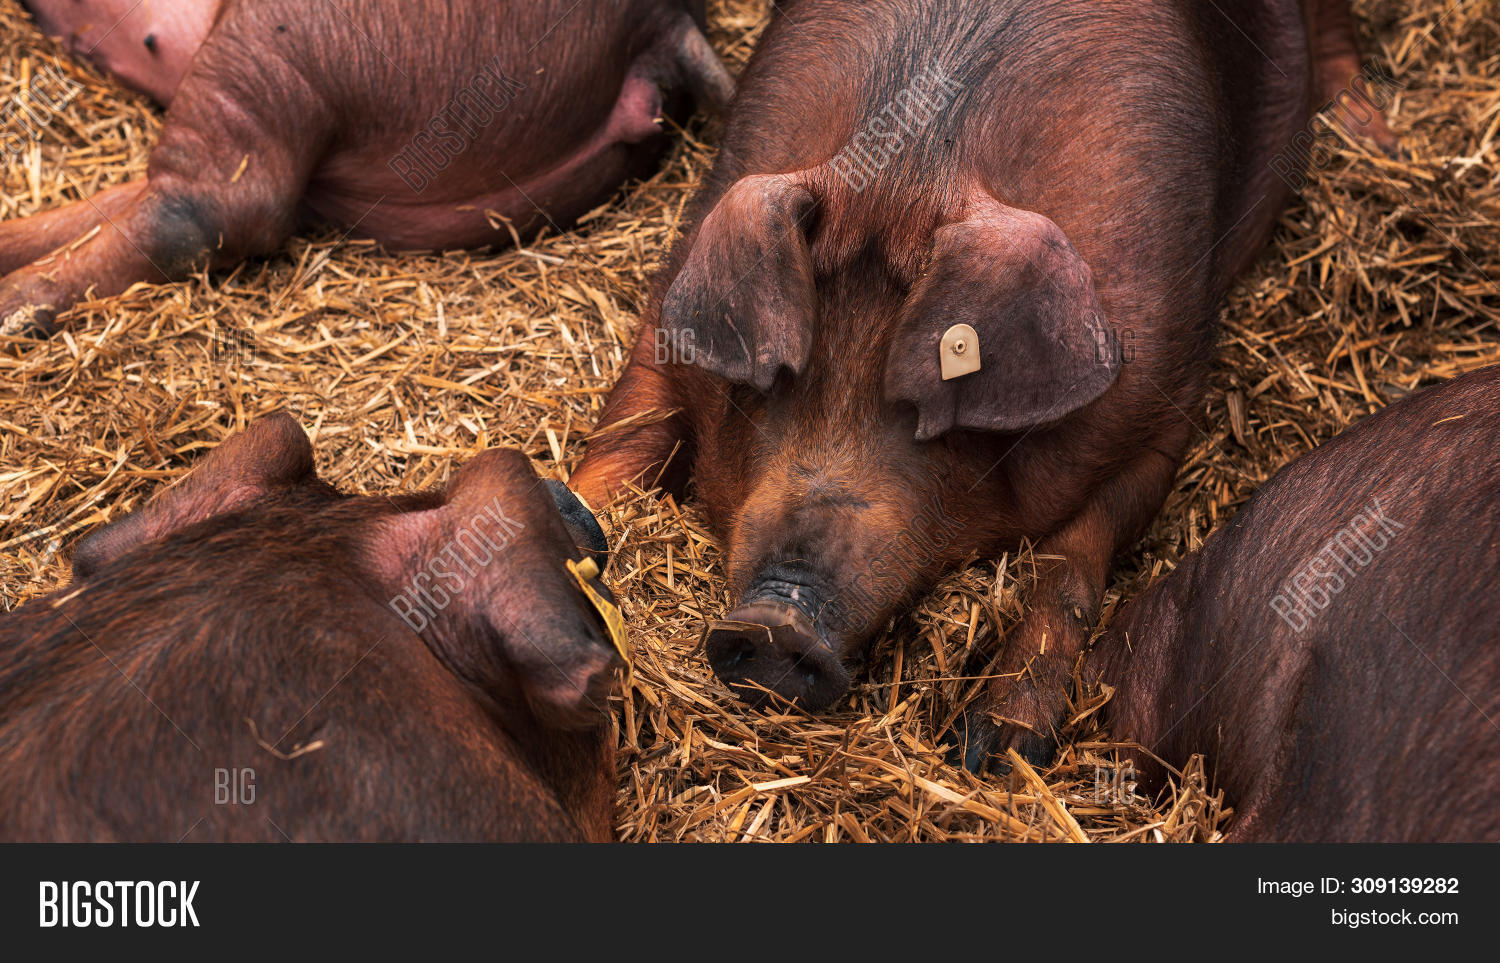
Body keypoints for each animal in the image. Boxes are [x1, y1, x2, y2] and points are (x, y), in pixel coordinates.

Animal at [567, 0, 1399, 772]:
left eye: (925, 412)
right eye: (772, 382)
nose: (774, 623)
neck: (909, 168)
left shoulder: (1167, 399)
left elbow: (1075, 555)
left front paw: (996, 747)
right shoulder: (669, 314)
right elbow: (622, 435)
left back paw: (1366, 127)